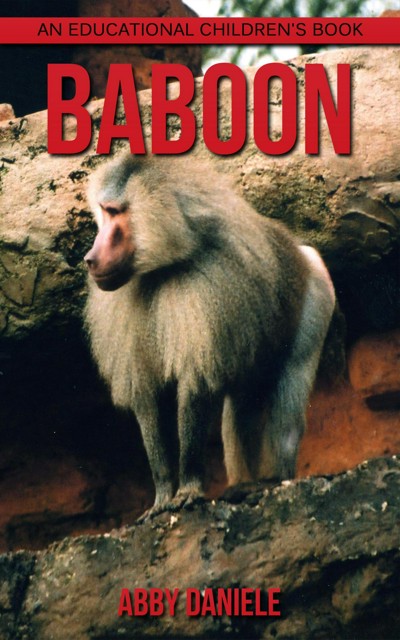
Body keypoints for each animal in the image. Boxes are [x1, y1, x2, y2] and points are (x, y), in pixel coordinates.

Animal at [84, 154, 335, 518]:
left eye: (117, 213)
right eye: (103, 211)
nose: (90, 259)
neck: (161, 269)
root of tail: (302, 252)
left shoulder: (205, 290)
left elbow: (195, 386)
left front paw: (188, 490)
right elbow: (147, 396)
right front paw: (162, 497)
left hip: (317, 295)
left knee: (287, 407)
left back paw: (276, 480)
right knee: (240, 413)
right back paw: (244, 484)